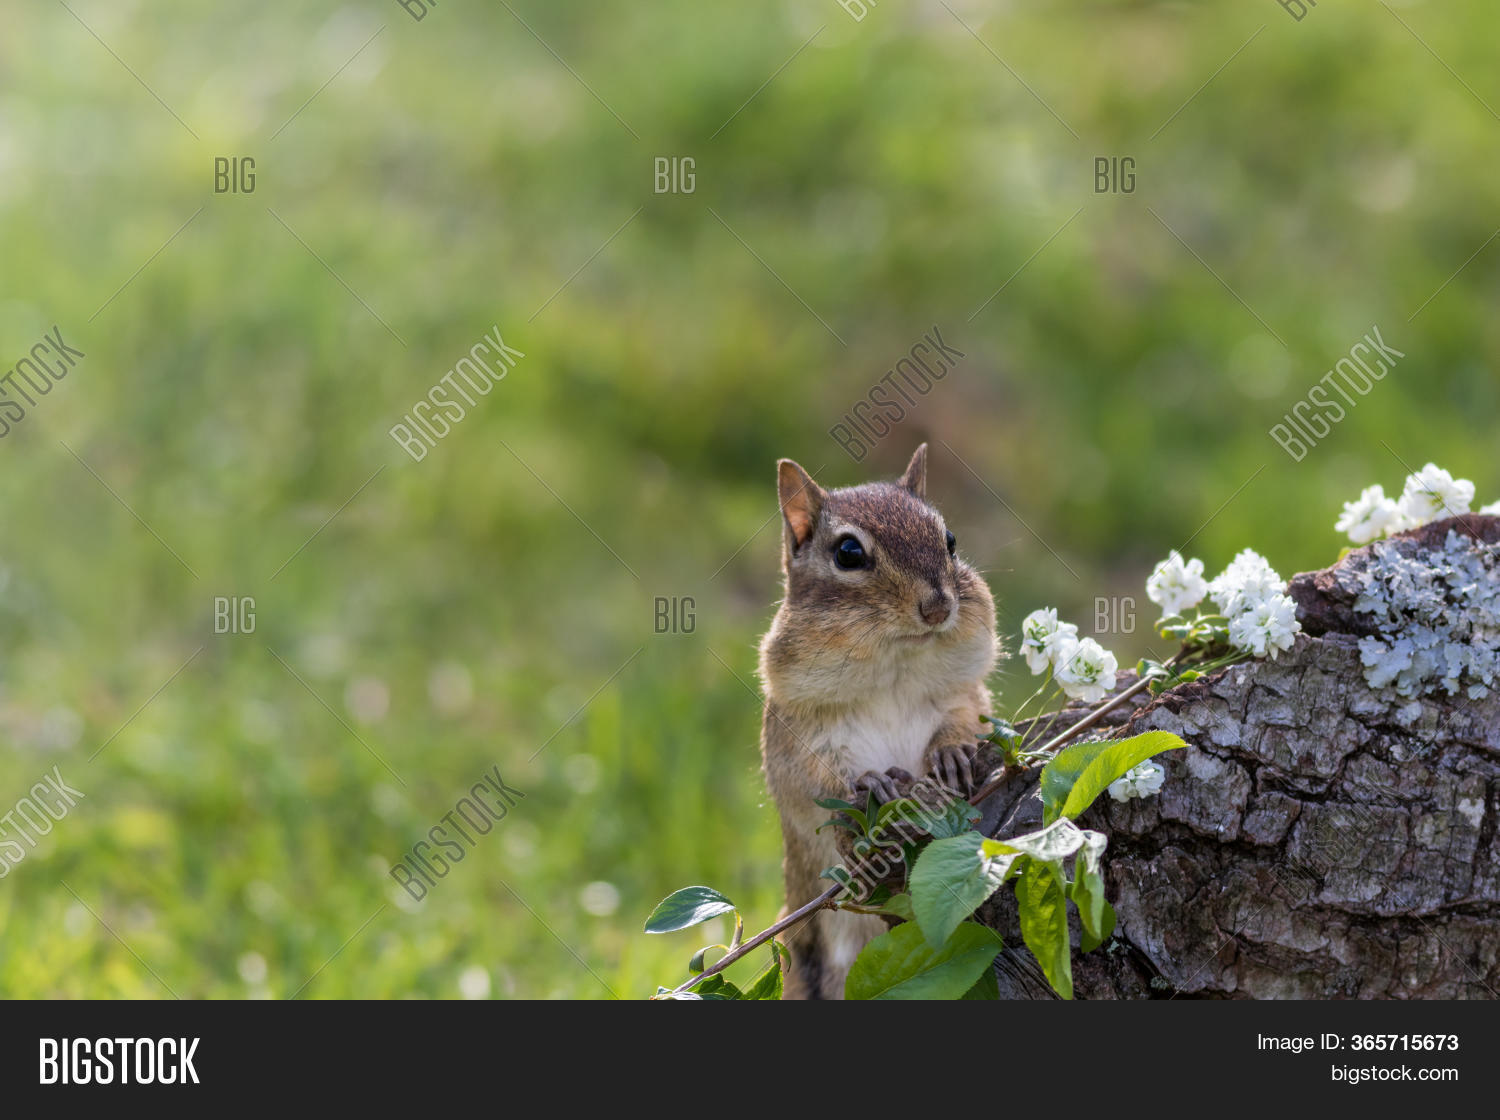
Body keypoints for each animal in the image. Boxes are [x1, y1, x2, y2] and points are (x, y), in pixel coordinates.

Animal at [757, 444, 999, 999]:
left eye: (950, 540)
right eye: (848, 553)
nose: (938, 607)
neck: (891, 674)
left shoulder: (963, 694)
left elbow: (967, 719)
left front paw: (952, 752)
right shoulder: (795, 738)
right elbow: (815, 783)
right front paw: (872, 783)